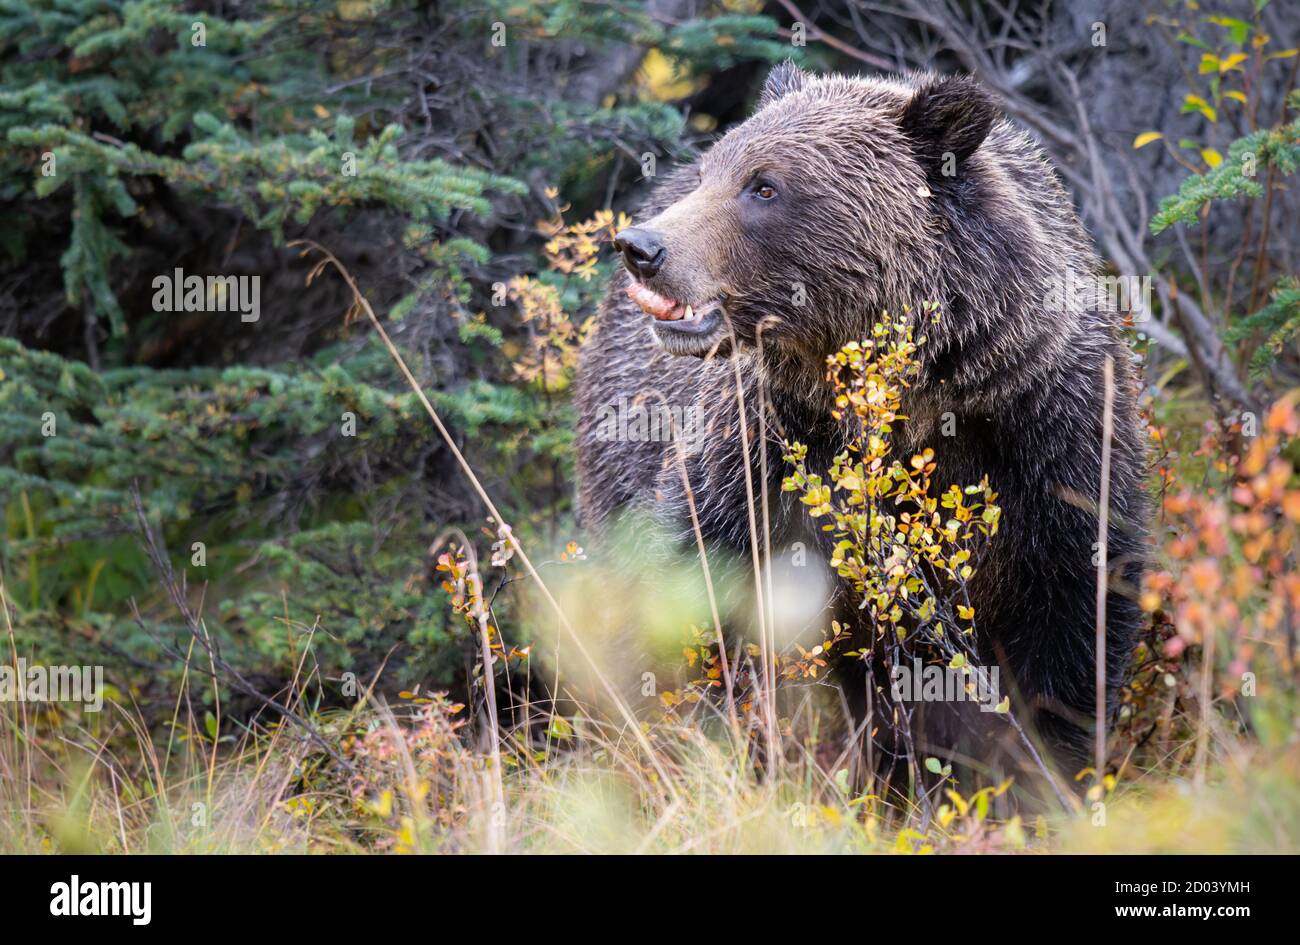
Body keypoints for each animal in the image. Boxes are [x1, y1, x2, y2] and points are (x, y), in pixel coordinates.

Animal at [574, 63, 1147, 790]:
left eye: (764, 185)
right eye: (714, 169)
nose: (643, 247)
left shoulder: (1048, 441)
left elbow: (1069, 632)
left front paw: (1037, 776)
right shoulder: (759, 455)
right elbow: (699, 594)